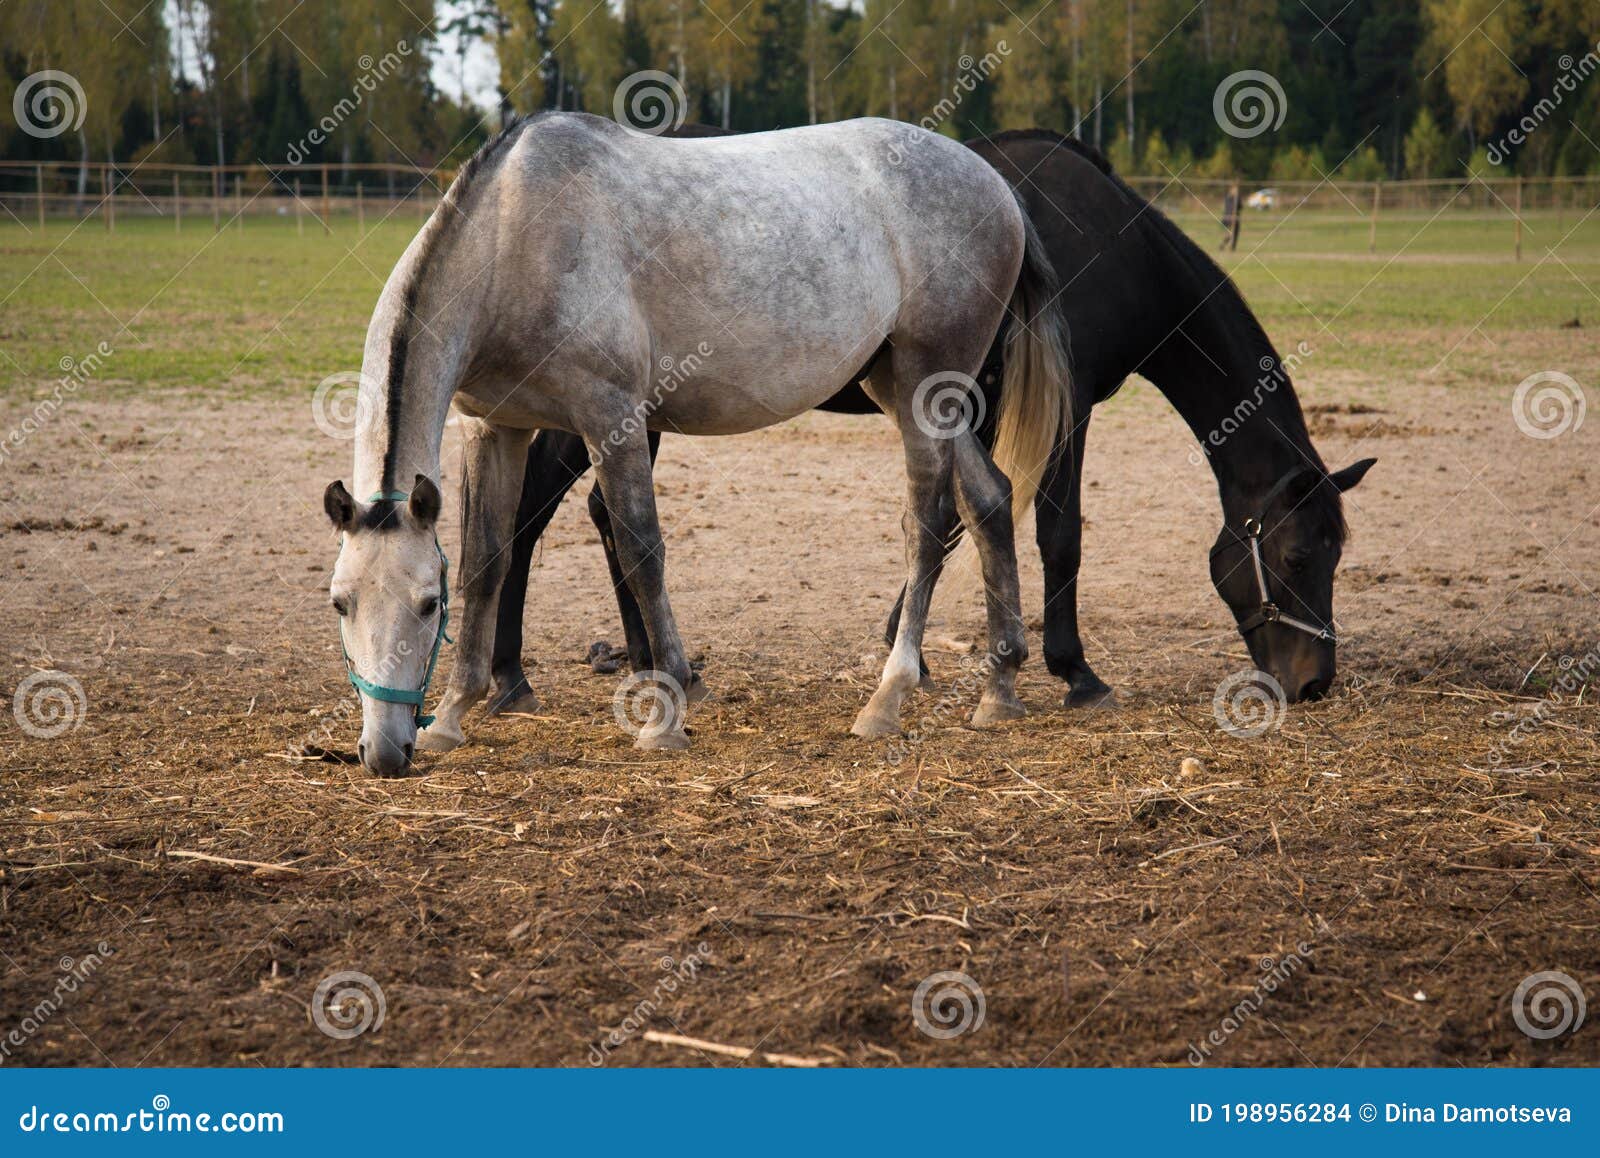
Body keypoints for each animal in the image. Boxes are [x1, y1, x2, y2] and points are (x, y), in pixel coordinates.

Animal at [324, 113, 1071, 776]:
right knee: (990, 500)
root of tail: (996, 186)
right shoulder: (496, 427)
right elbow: (486, 560)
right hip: (901, 387)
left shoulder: (612, 419)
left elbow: (641, 551)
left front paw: (665, 716)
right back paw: (999, 686)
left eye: (427, 604)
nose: (384, 753)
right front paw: (454, 714)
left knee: (930, 523)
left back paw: (888, 696)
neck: (516, 239)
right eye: (340, 603)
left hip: (925, 387)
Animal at [481, 128, 1375, 718]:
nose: (1314, 680)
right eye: (1298, 554)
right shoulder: (1066, 409)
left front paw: (913, 648)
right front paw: (1073, 671)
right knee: (532, 517)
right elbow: (1055, 534)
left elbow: (955, 522)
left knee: (600, 514)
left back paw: (643, 662)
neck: (1105, 242)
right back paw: (511, 677)